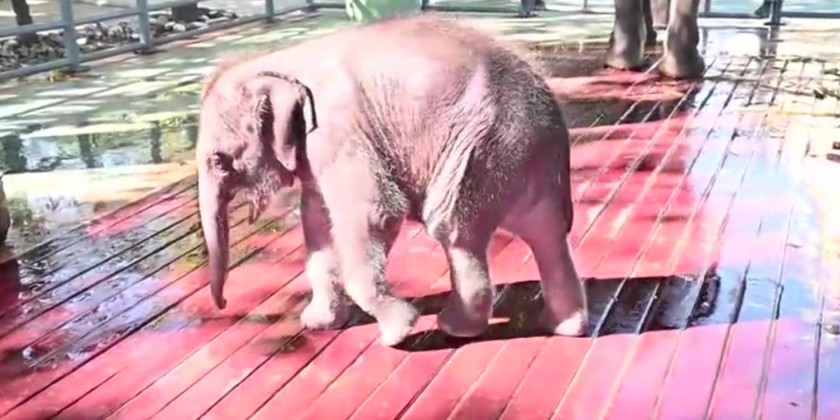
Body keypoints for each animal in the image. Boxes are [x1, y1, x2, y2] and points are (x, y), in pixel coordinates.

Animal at [195, 15, 587, 347]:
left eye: (218, 161)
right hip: (520, 152)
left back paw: (455, 328)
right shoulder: (318, 151)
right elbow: (318, 223)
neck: (280, 61)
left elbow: (372, 213)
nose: (223, 304)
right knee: (545, 232)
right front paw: (318, 323)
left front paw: (397, 333)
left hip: (483, 145)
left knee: (452, 228)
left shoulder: (339, 130)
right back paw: (564, 326)